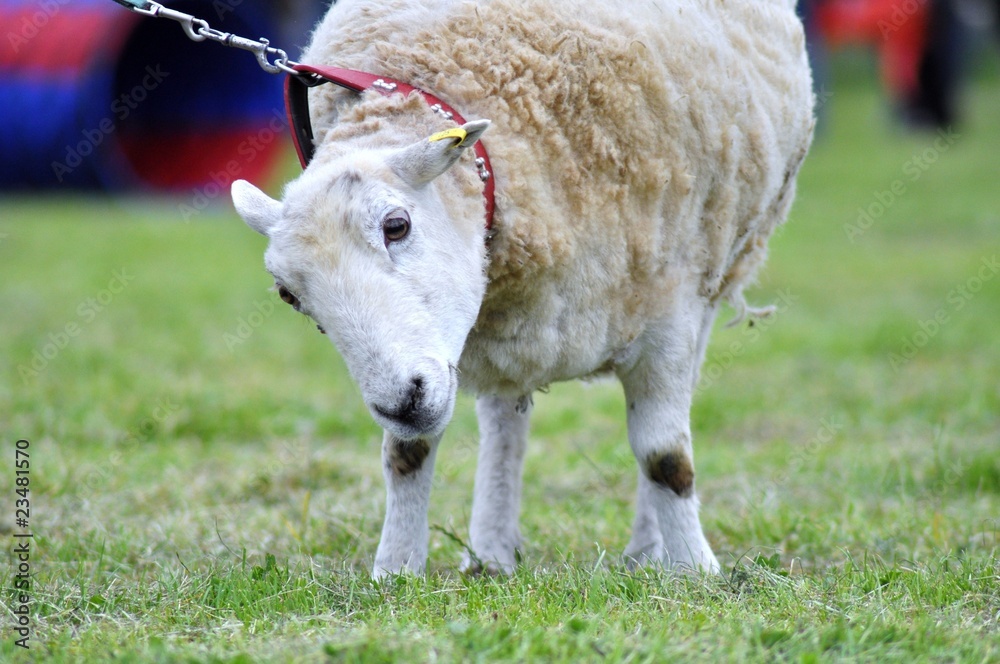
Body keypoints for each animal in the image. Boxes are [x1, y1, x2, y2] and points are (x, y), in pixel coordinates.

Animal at [231, 0, 814, 578]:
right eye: (289, 296)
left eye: (396, 225)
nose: (401, 403)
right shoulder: (451, 348)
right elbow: (406, 454)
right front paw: (395, 570)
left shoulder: (669, 307)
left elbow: (664, 454)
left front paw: (695, 571)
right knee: (504, 426)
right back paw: (493, 550)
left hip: (711, 274)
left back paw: (648, 552)